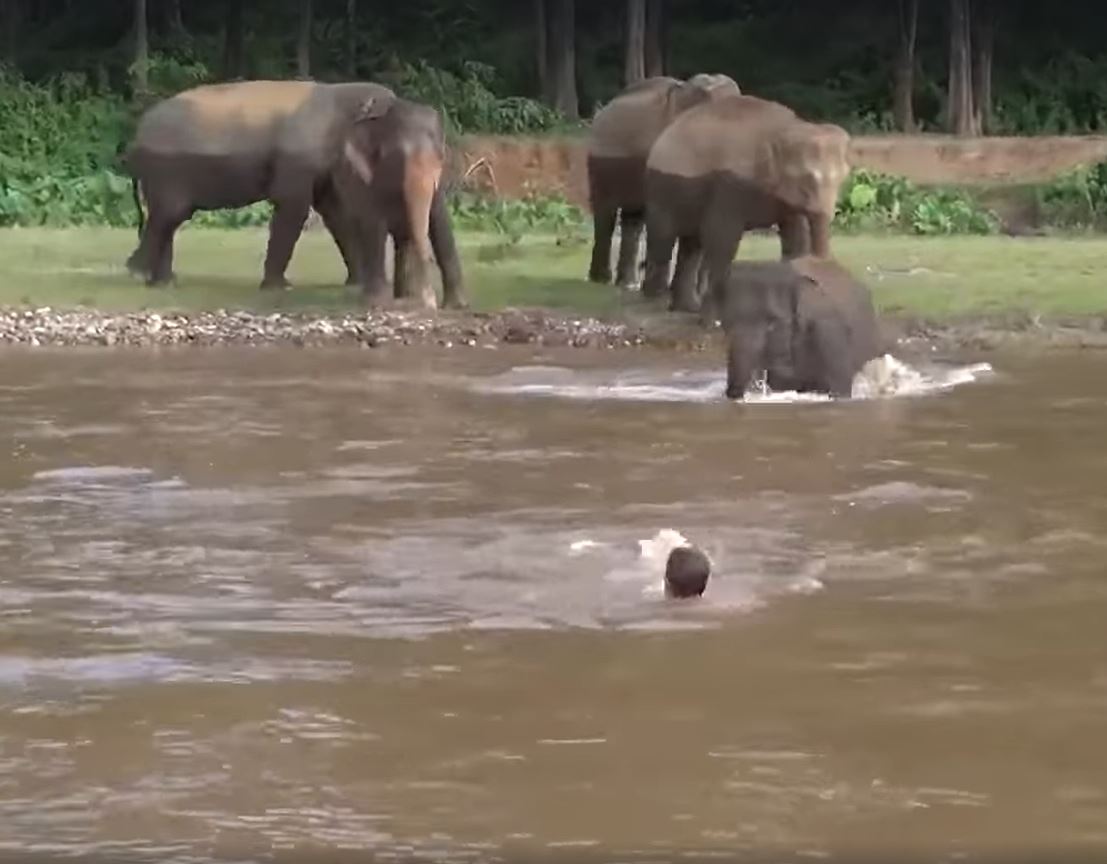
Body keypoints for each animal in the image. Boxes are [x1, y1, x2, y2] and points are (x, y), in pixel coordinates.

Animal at [123, 79, 396, 289]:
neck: (341, 93)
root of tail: (137, 135)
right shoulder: (296, 160)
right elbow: (293, 206)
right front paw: (279, 287)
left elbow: (336, 214)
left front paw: (355, 283)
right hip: (166, 170)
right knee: (169, 215)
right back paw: (140, 273)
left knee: (167, 218)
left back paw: (163, 282)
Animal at [331, 96, 466, 310]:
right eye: (398, 158)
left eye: (439, 158)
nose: (431, 301)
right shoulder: (365, 180)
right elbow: (374, 224)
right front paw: (377, 303)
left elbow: (440, 223)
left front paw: (457, 306)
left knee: (404, 238)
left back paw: (406, 298)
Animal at [642, 93, 851, 321]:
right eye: (806, 180)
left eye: (843, 179)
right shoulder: (729, 184)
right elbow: (722, 238)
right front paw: (713, 319)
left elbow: (796, 235)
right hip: (661, 189)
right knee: (663, 240)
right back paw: (654, 301)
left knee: (691, 245)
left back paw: (687, 307)